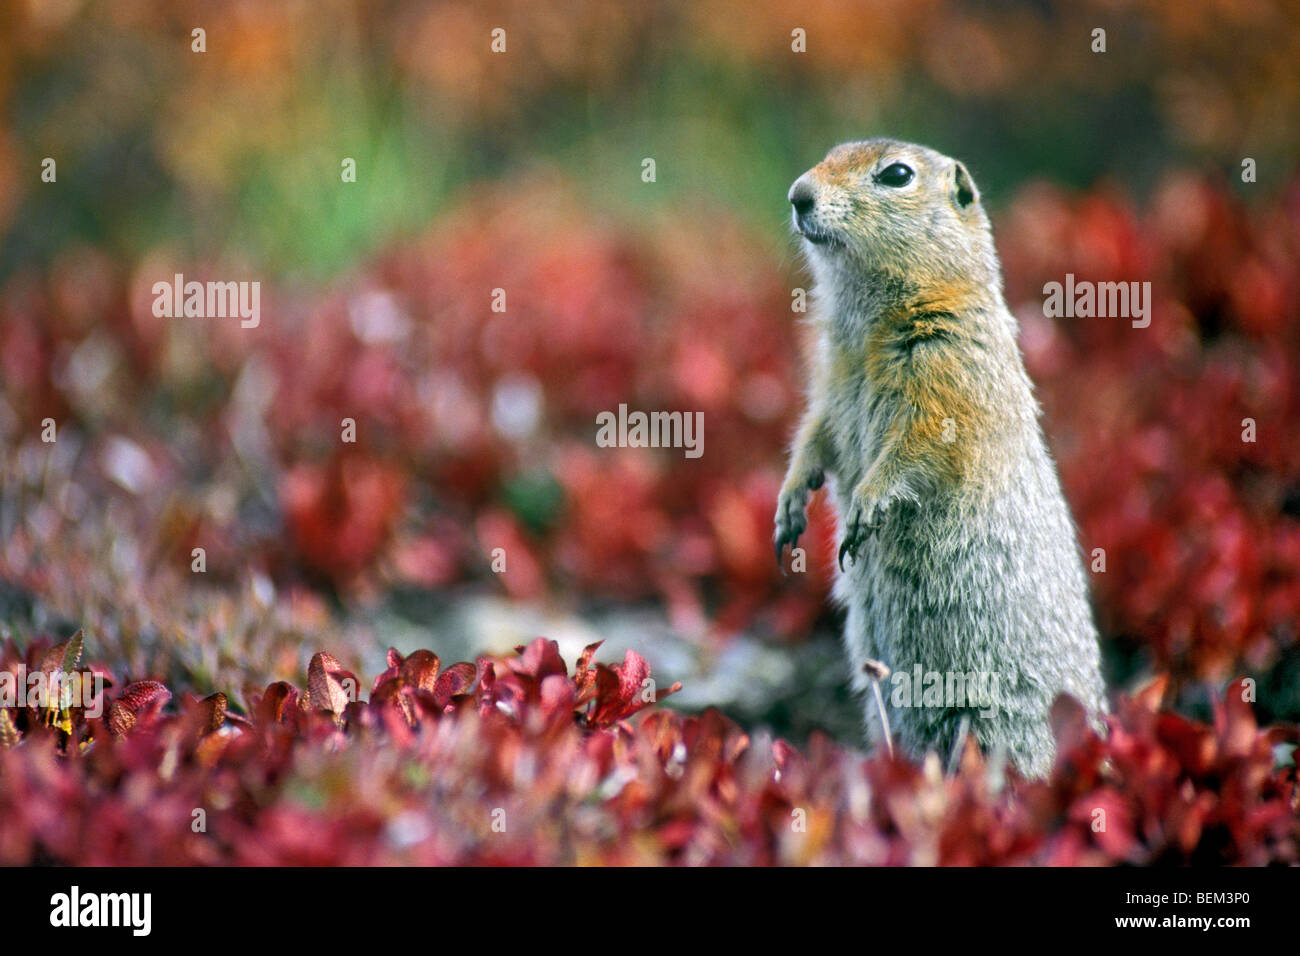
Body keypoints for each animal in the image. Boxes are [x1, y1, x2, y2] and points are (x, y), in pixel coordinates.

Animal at [774, 139, 1105, 779]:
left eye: (897, 175)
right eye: (828, 155)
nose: (798, 194)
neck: (868, 320)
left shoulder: (949, 365)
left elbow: (923, 443)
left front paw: (865, 508)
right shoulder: (831, 378)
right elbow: (816, 434)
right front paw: (789, 505)